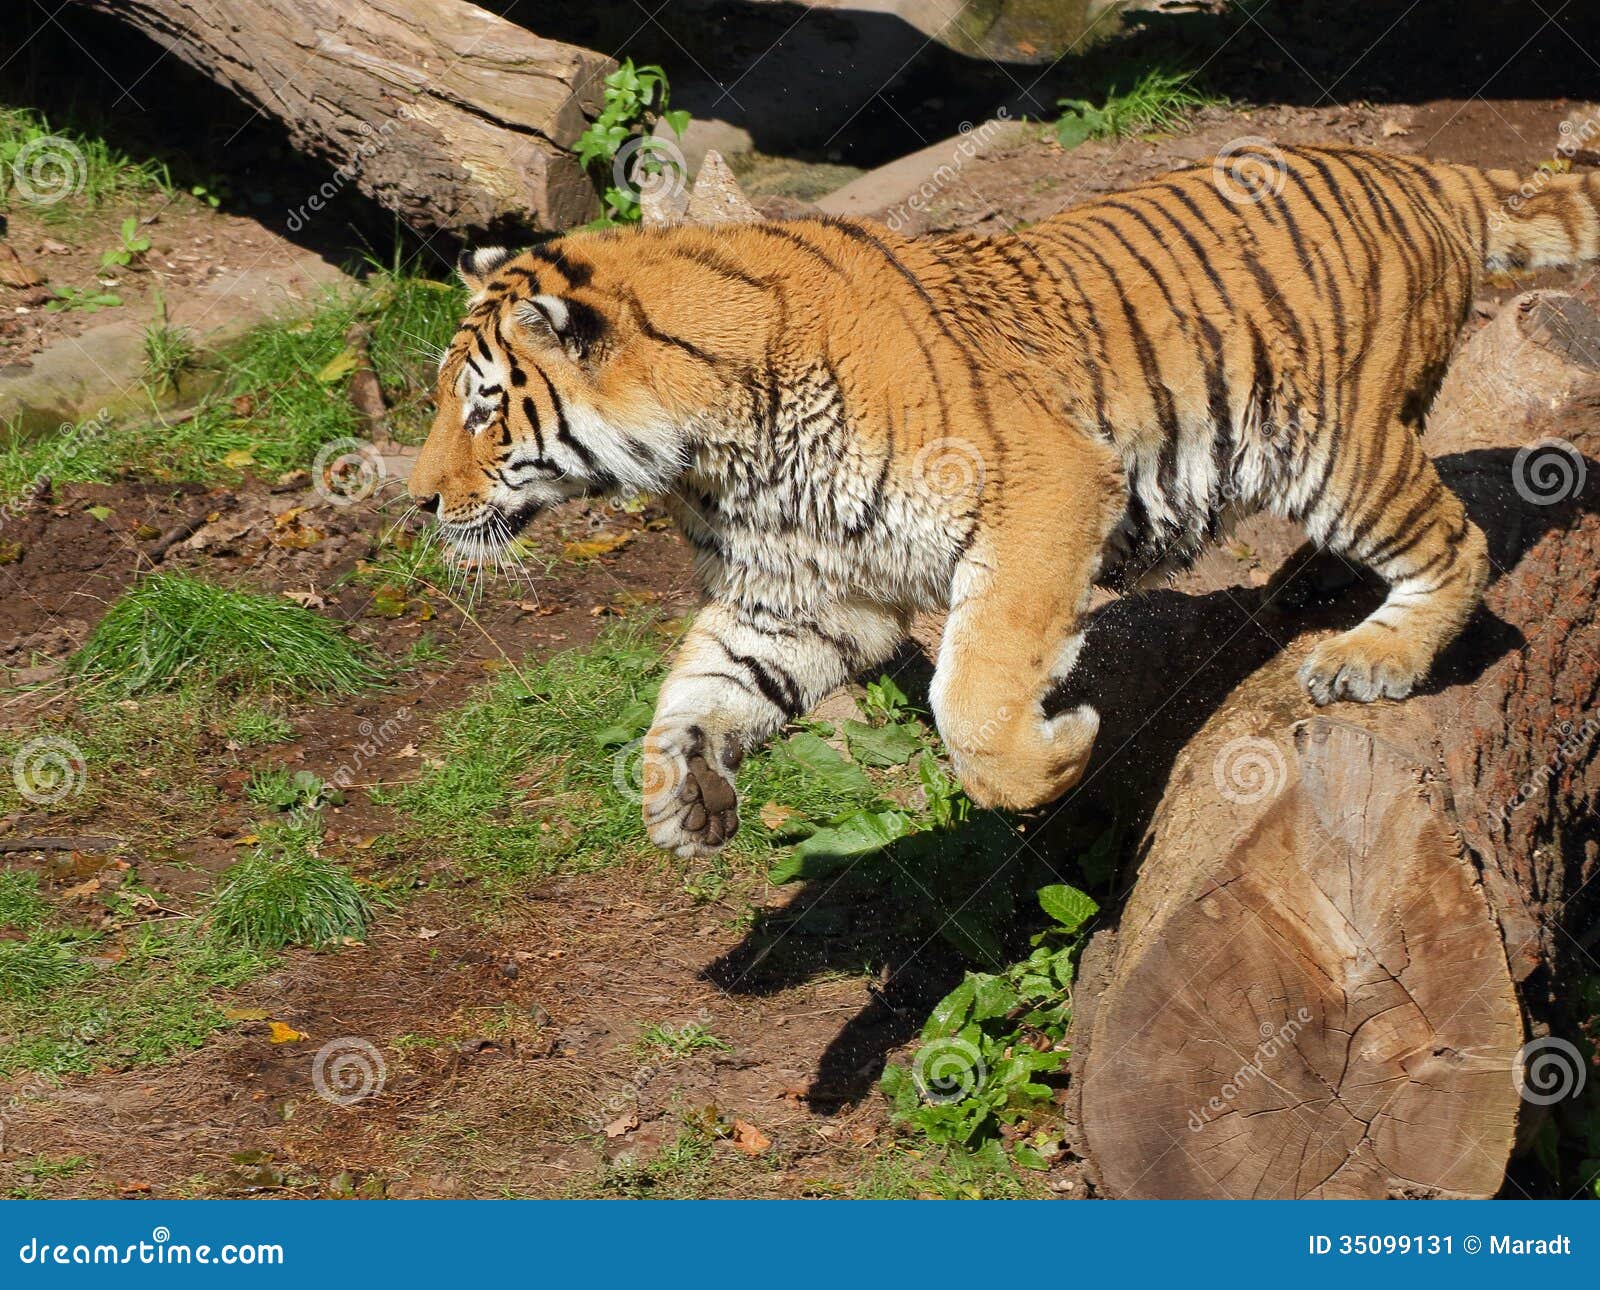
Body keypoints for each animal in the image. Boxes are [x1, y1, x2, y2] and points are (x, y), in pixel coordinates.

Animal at [409, 143, 1600, 857]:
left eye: (482, 411)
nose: (418, 505)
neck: (715, 448)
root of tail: (1417, 164)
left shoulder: (1042, 491)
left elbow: (973, 693)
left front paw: (1056, 753)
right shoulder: (799, 594)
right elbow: (699, 690)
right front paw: (679, 796)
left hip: (1330, 445)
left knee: (1458, 540)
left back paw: (1373, 657)